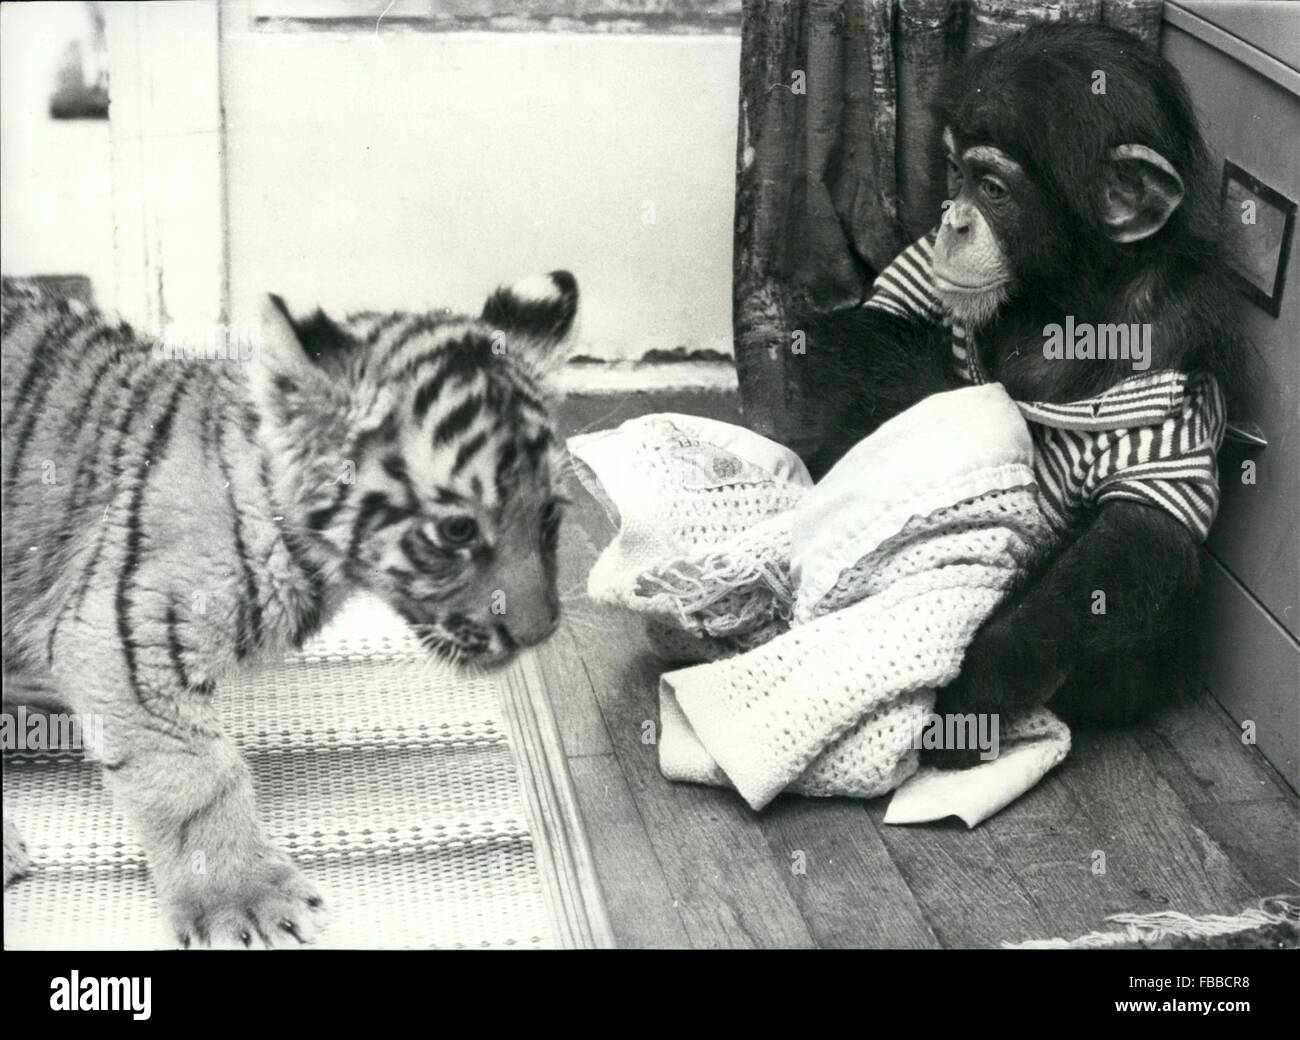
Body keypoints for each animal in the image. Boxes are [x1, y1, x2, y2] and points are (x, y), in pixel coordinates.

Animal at [0, 270, 578, 946]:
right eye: (457, 529)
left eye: (549, 515)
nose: (540, 631)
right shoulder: (127, 639)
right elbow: (194, 781)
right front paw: (245, 900)